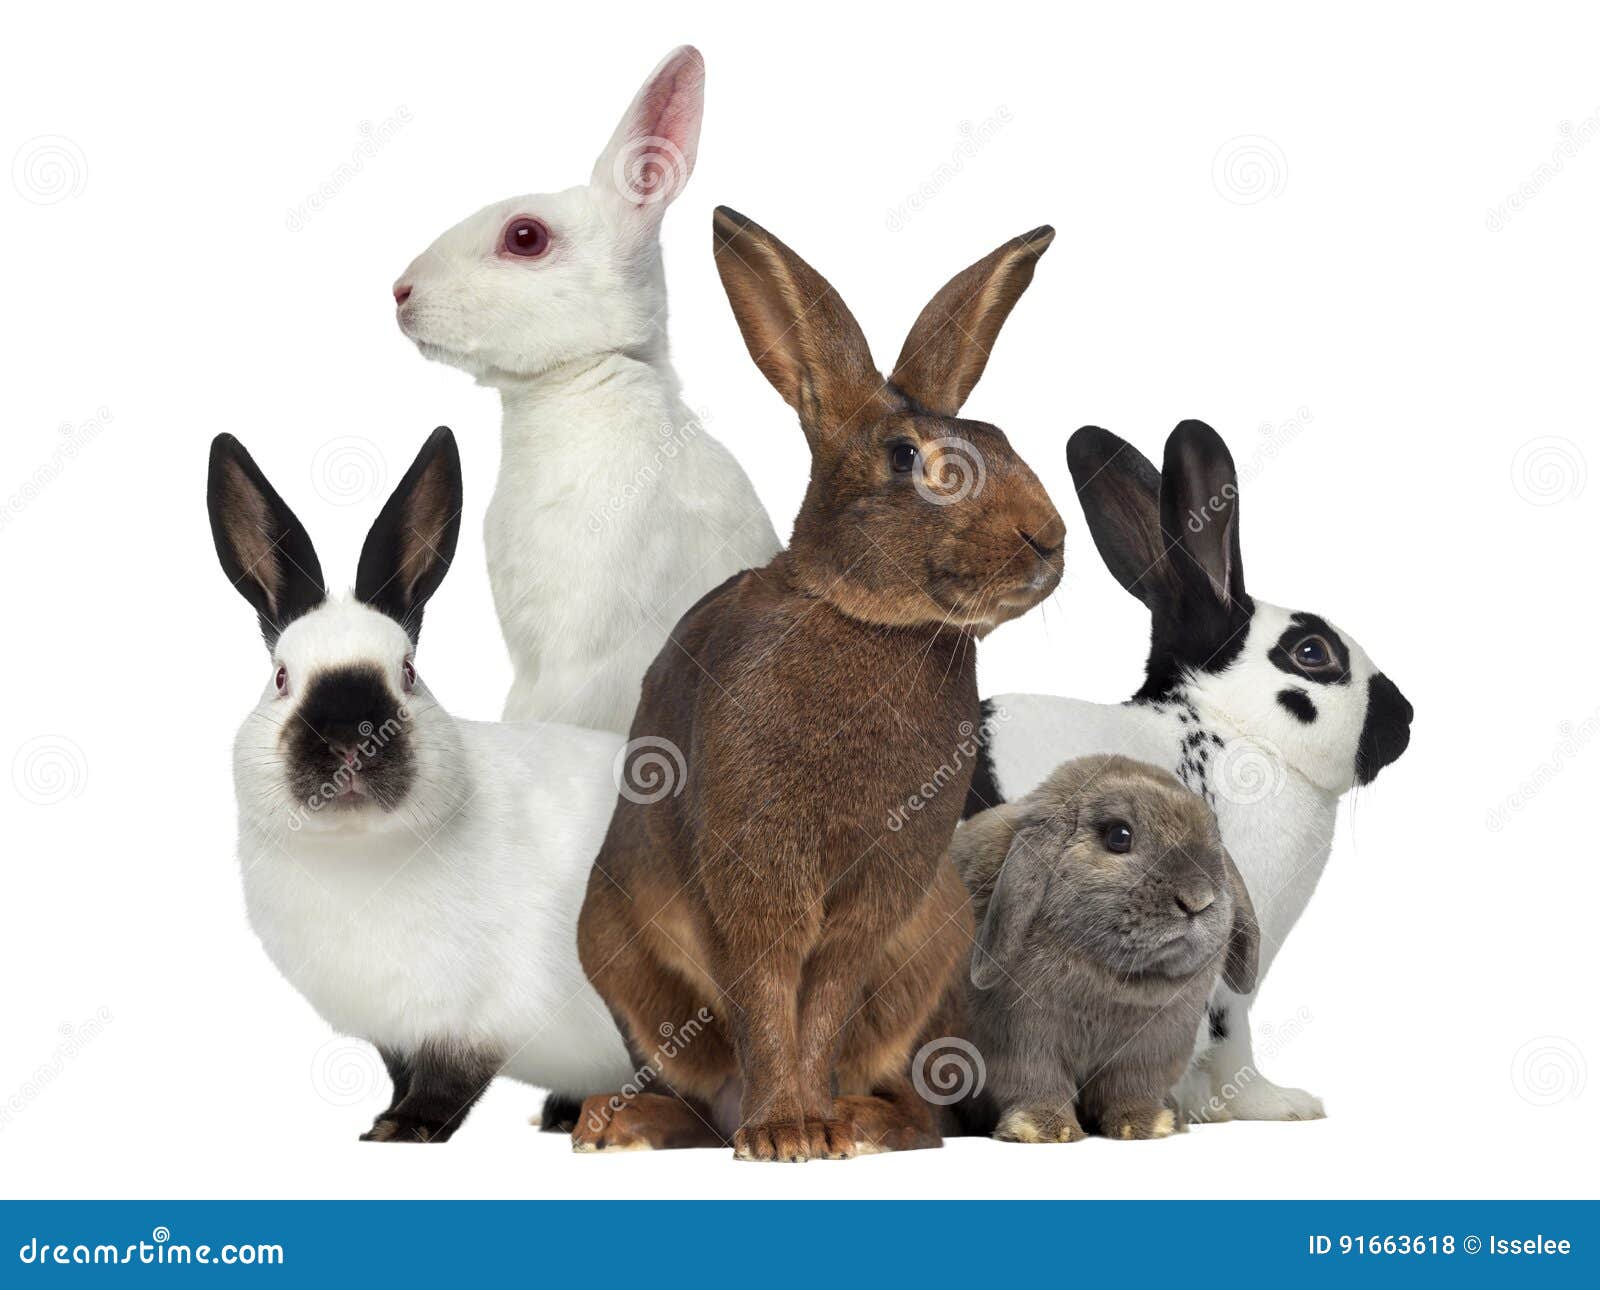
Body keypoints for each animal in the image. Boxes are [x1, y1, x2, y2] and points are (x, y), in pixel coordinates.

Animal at [208, 427, 636, 1142]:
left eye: (407, 672)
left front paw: (401, 1132)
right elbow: (403, 1073)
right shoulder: (395, 1030)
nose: (350, 737)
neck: (357, 855)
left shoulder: (466, 1021)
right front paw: (384, 1119)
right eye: (282, 678)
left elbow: (448, 1085)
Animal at [570, 208, 1064, 1162]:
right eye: (912, 459)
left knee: (908, 1099)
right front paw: (781, 1136)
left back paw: (867, 1121)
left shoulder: (878, 896)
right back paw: (623, 1125)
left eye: (1003, 441)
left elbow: (825, 997)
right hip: (616, 947)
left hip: (936, 938)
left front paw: (814, 1129)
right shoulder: (753, 874)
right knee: (694, 1086)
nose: (1049, 538)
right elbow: (767, 988)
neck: (867, 618)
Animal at [952, 754, 1258, 1144]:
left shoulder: (1150, 1049)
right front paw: (1044, 1130)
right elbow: (1034, 1079)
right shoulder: (1019, 1037)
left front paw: (1146, 1125)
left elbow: (1130, 1087)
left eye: (1214, 839)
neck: (1116, 981)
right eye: (1118, 836)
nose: (1198, 899)